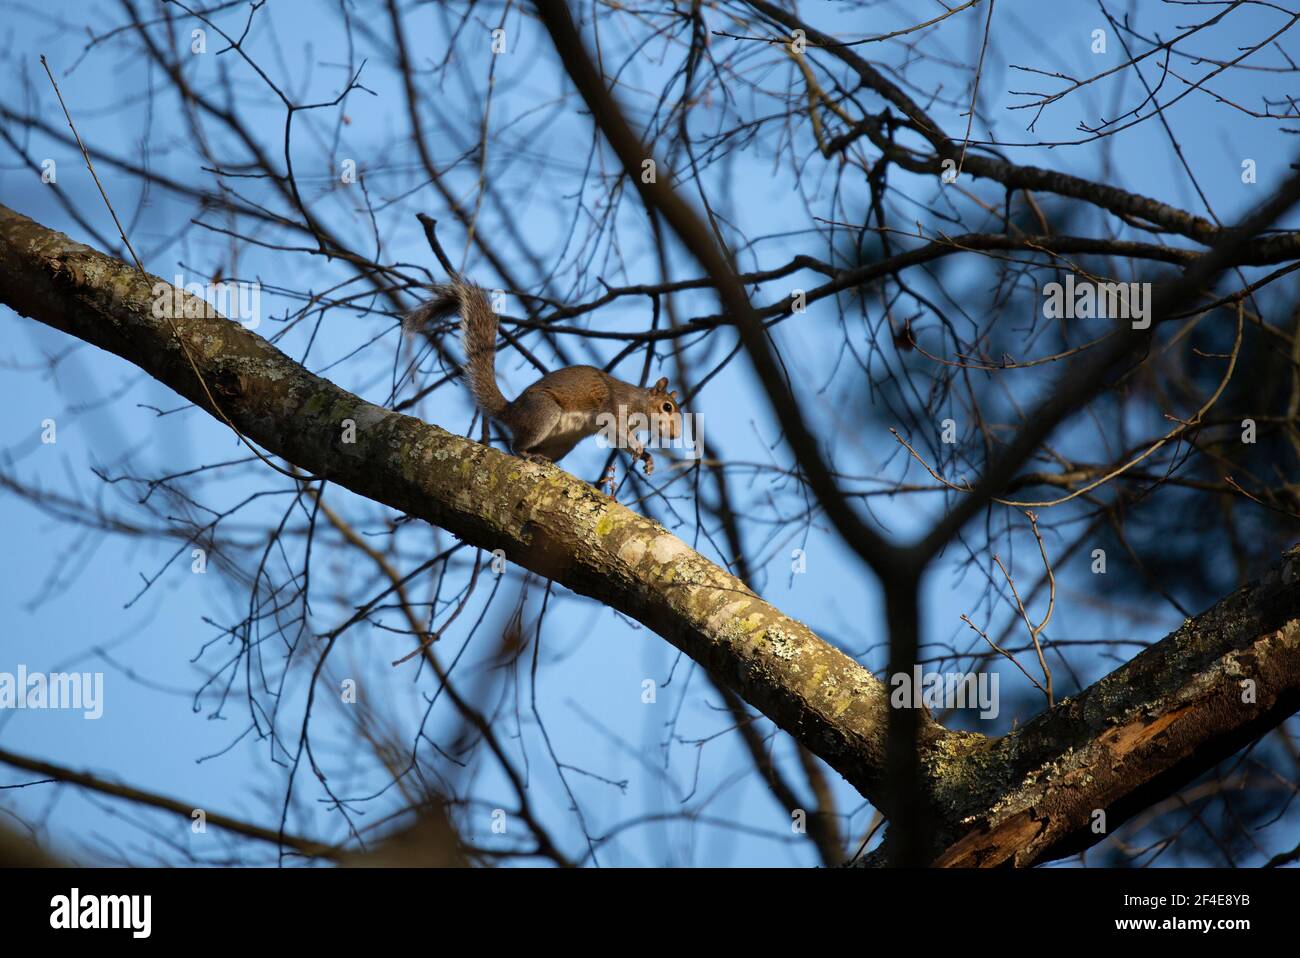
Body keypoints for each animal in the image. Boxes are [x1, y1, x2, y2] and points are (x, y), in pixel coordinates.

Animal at [406, 278, 683, 475]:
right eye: (667, 407)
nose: (675, 436)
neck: (639, 402)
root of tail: (510, 411)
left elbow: (620, 440)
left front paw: (648, 459)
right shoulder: (615, 408)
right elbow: (618, 431)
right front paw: (639, 448)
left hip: (562, 443)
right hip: (543, 412)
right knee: (515, 446)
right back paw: (527, 455)